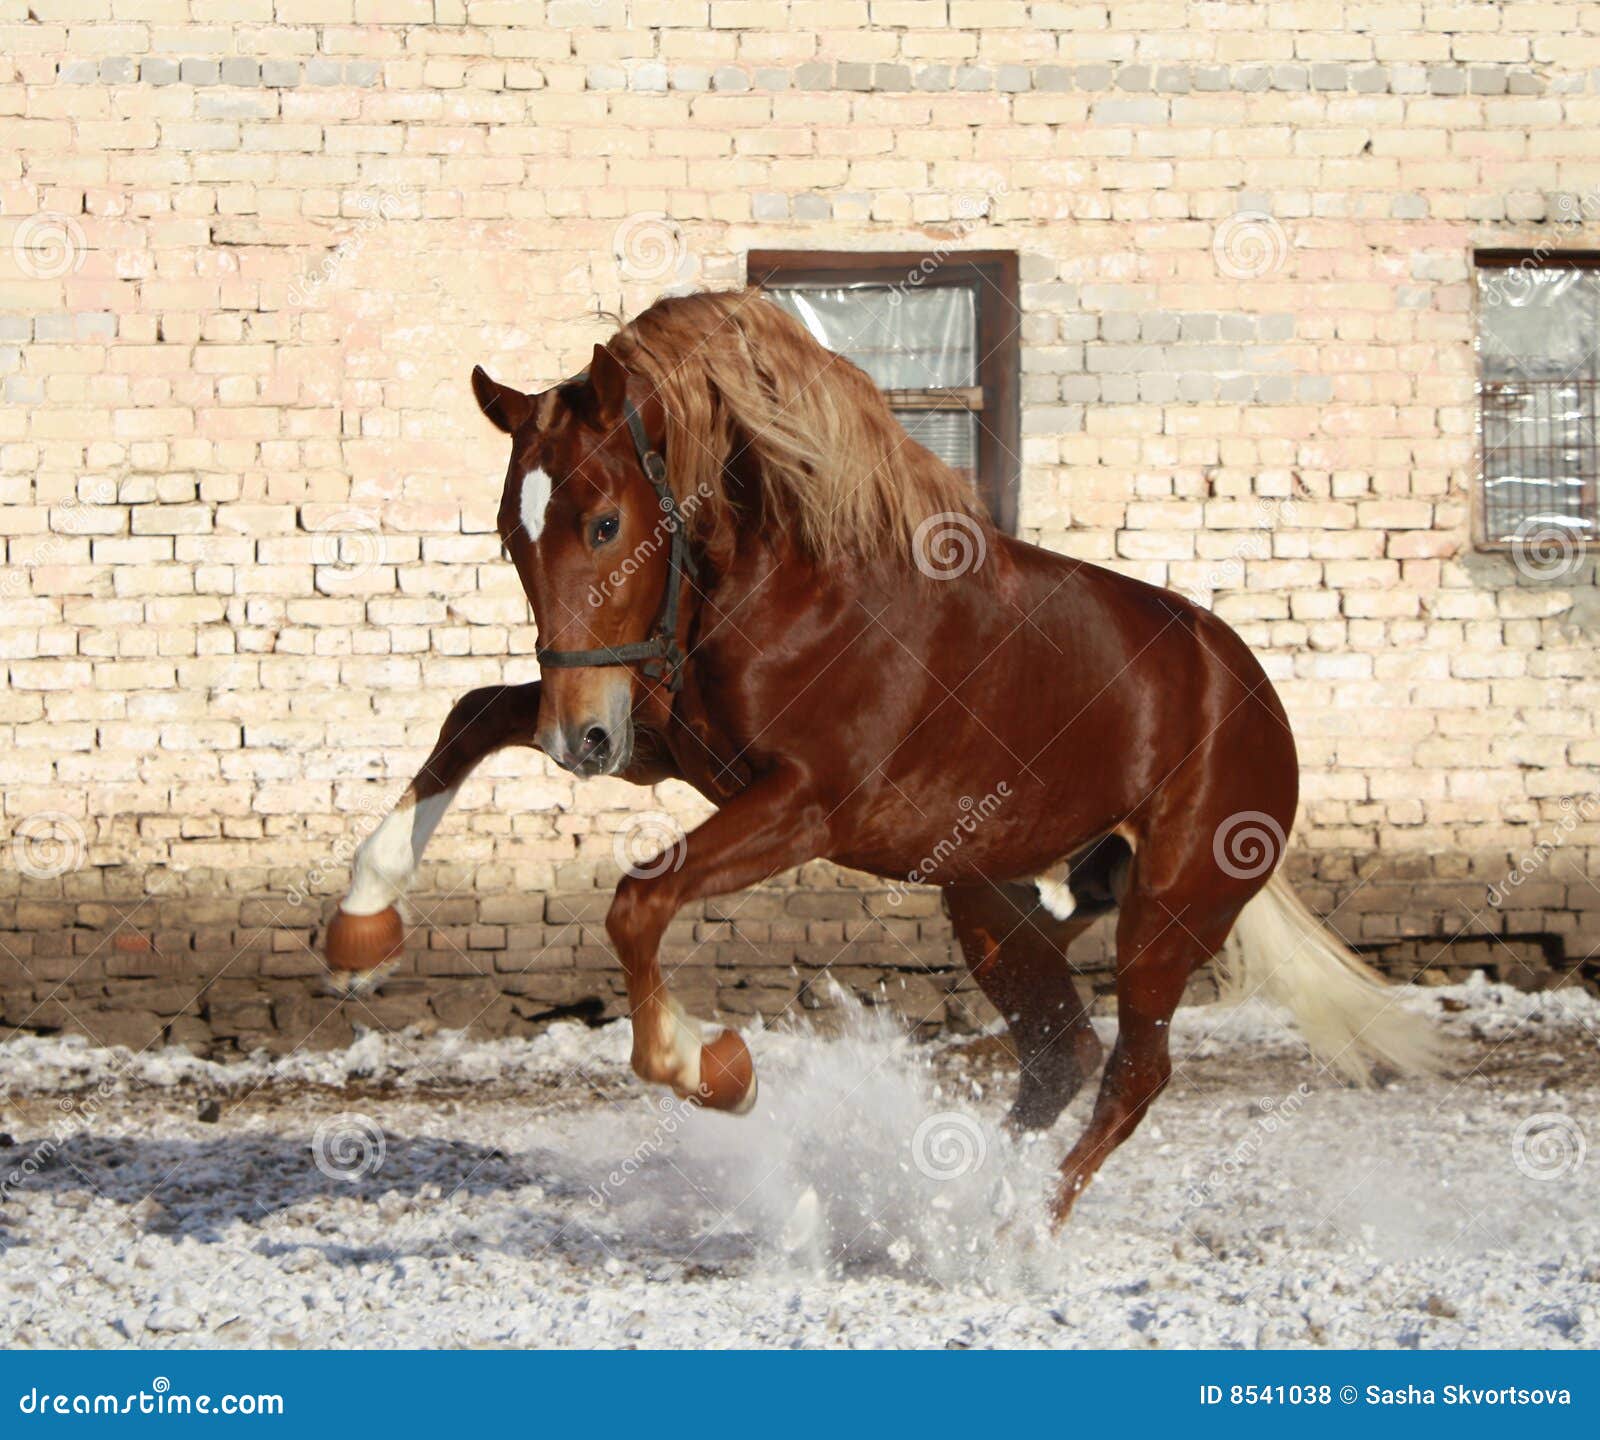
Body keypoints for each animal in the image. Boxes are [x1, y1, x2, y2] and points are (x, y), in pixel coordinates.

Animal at [322, 287, 1441, 1224]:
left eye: (605, 523)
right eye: (511, 536)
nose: (575, 743)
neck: (790, 583)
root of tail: (1251, 695)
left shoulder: (803, 805)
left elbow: (638, 900)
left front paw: (713, 1069)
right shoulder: (665, 742)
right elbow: (471, 714)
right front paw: (361, 928)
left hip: (1170, 913)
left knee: (1132, 1071)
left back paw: (1016, 1229)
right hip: (990, 897)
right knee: (1060, 1051)